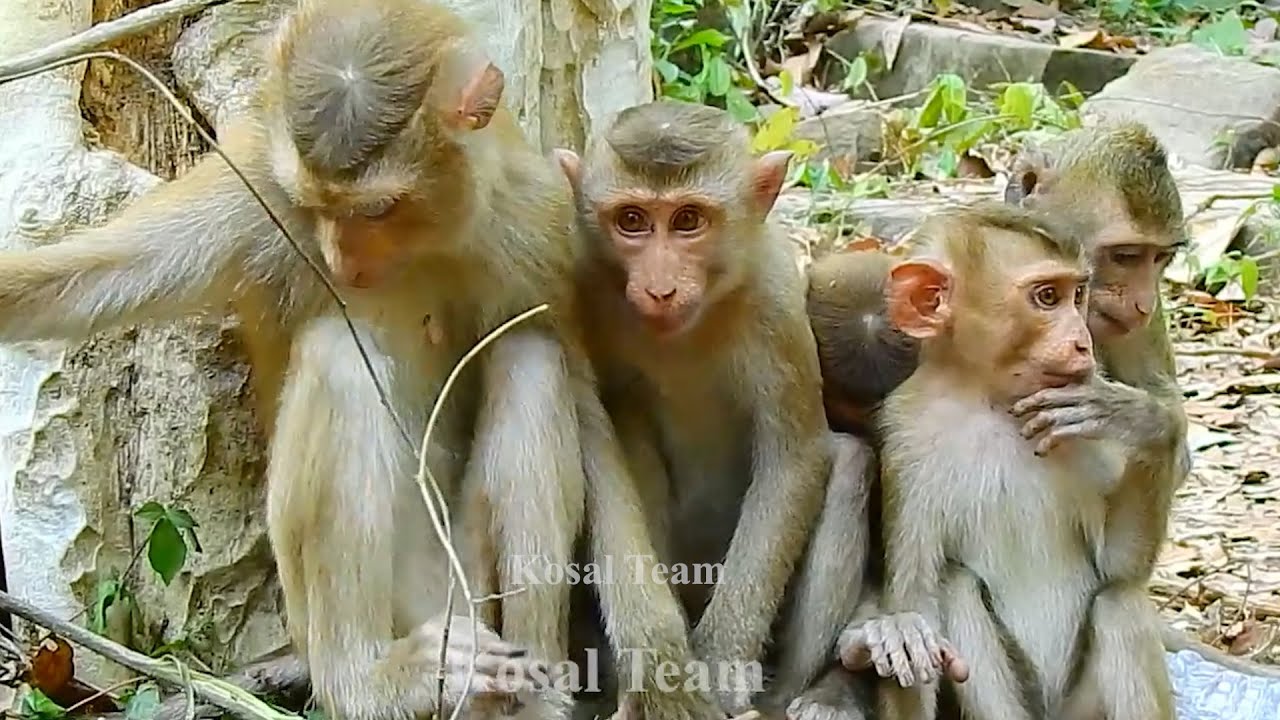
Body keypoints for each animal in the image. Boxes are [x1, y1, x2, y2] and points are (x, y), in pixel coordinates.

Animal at [0, 1, 650, 717]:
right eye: (316, 206)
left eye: (380, 208)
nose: (342, 256)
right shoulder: (253, 182)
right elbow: (82, 280)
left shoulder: (539, 220)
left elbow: (583, 390)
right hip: (390, 597)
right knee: (342, 361)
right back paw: (363, 680)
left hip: (465, 588)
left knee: (530, 355)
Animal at [554, 100, 843, 718]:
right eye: (632, 220)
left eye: (688, 220)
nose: (660, 289)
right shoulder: (578, 287)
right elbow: (596, 440)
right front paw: (657, 663)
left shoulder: (777, 299)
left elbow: (795, 457)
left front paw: (721, 660)